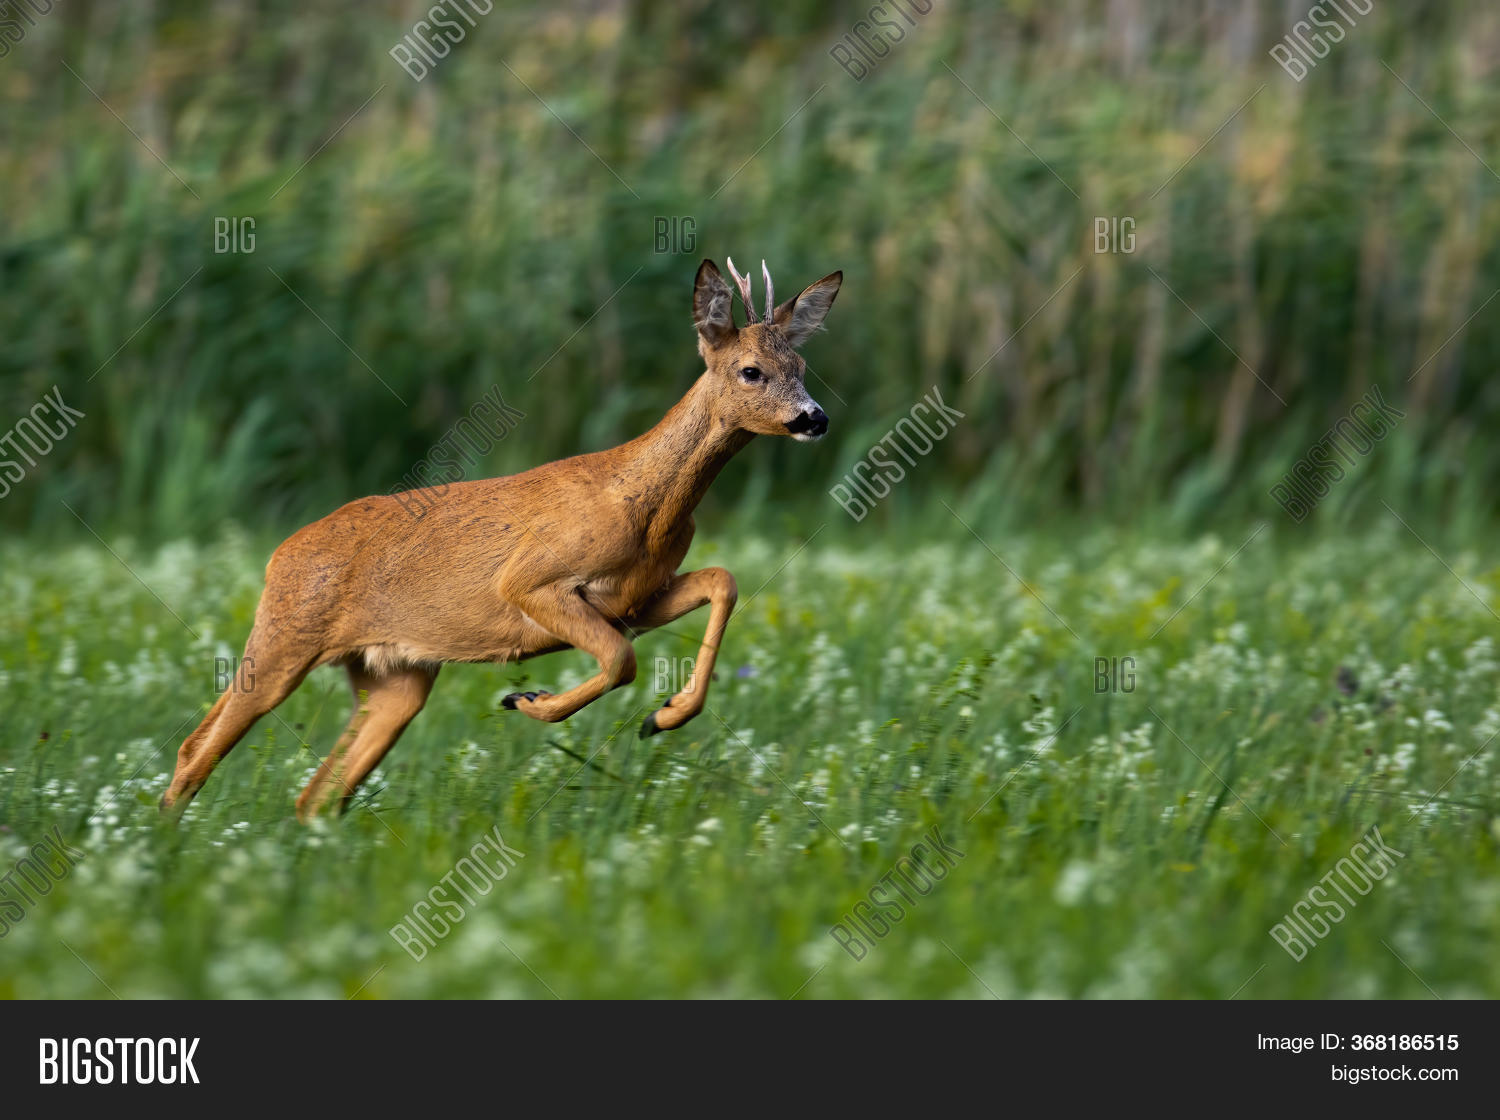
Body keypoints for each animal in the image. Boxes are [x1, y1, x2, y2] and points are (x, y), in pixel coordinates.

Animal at [161, 259, 841, 822]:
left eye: (802, 368)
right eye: (751, 371)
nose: (815, 418)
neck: (645, 506)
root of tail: (279, 555)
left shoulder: (637, 599)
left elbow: (722, 581)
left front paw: (665, 715)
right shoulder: (531, 581)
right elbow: (620, 660)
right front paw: (529, 701)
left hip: (395, 677)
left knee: (319, 792)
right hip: (285, 636)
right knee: (198, 746)